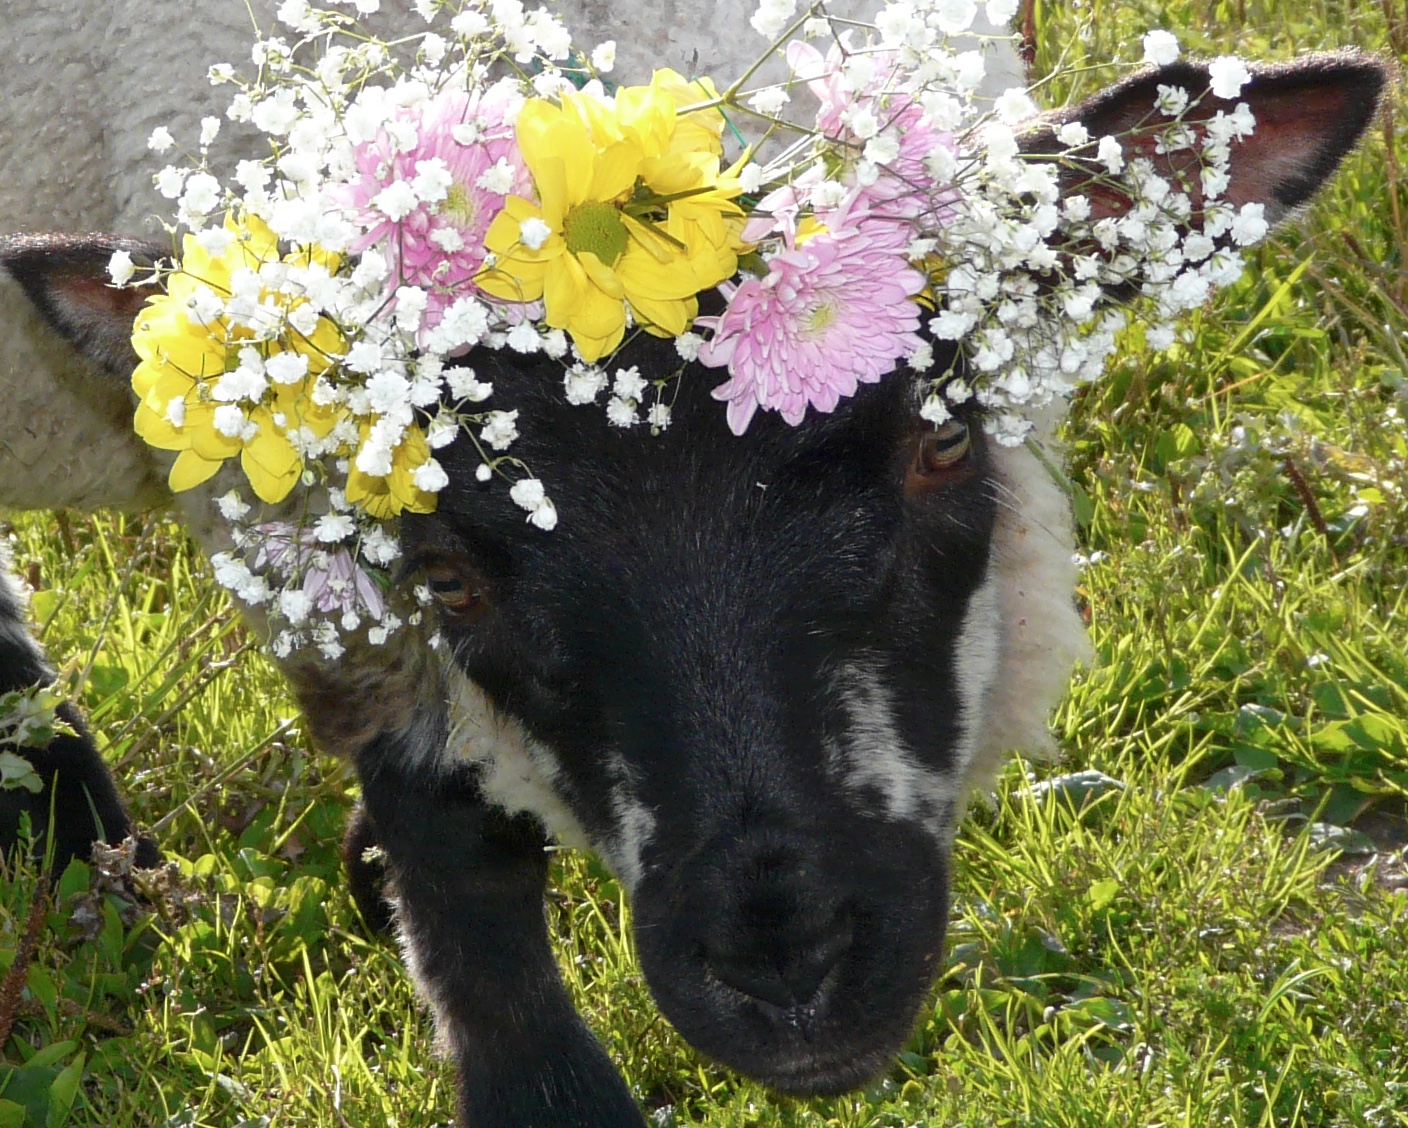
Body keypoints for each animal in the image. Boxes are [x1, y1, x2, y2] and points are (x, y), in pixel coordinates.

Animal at [0, 4, 1388, 1125]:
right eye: (445, 575)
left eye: (943, 441)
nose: (789, 976)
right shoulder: (307, 571)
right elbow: (448, 835)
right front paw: (534, 1082)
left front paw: (365, 874)